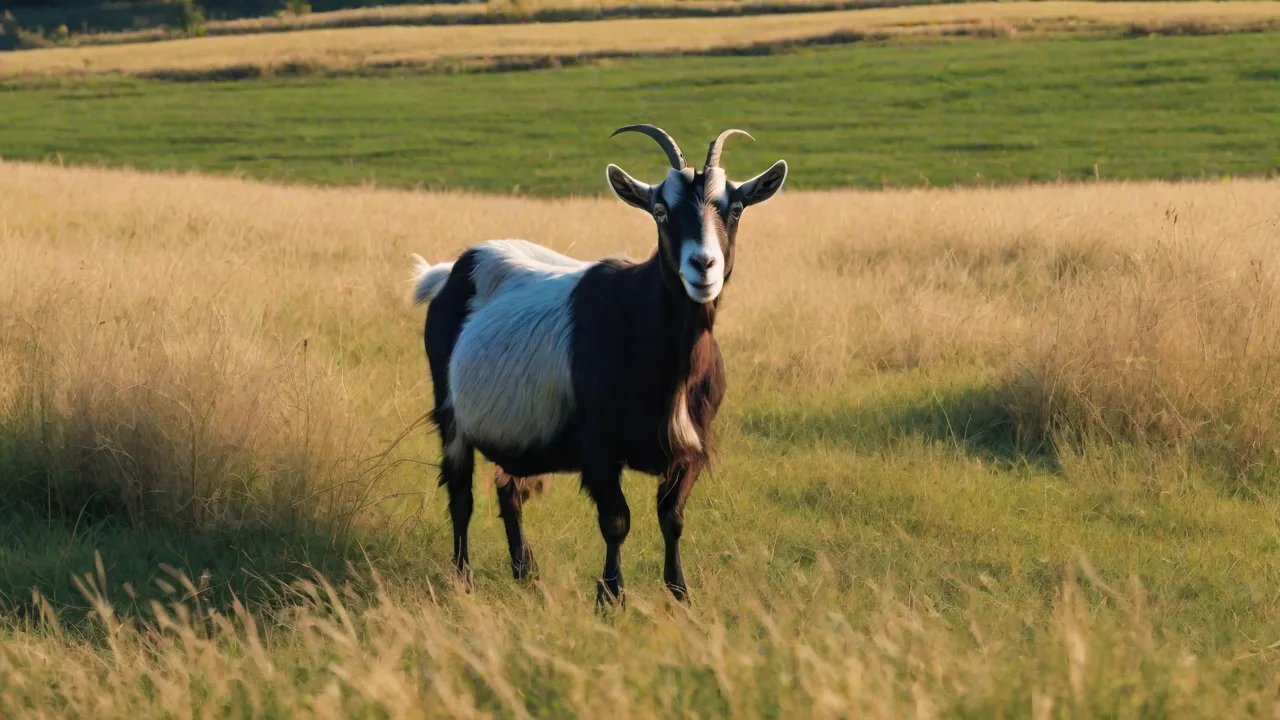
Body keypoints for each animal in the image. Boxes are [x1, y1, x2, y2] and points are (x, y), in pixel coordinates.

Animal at [411, 125, 787, 605]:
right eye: (660, 211)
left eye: (735, 208)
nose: (702, 266)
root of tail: (448, 274)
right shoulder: (599, 446)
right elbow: (616, 522)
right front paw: (611, 598)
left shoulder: (692, 446)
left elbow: (673, 518)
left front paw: (679, 594)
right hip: (451, 413)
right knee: (461, 496)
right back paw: (464, 580)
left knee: (508, 488)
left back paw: (525, 571)